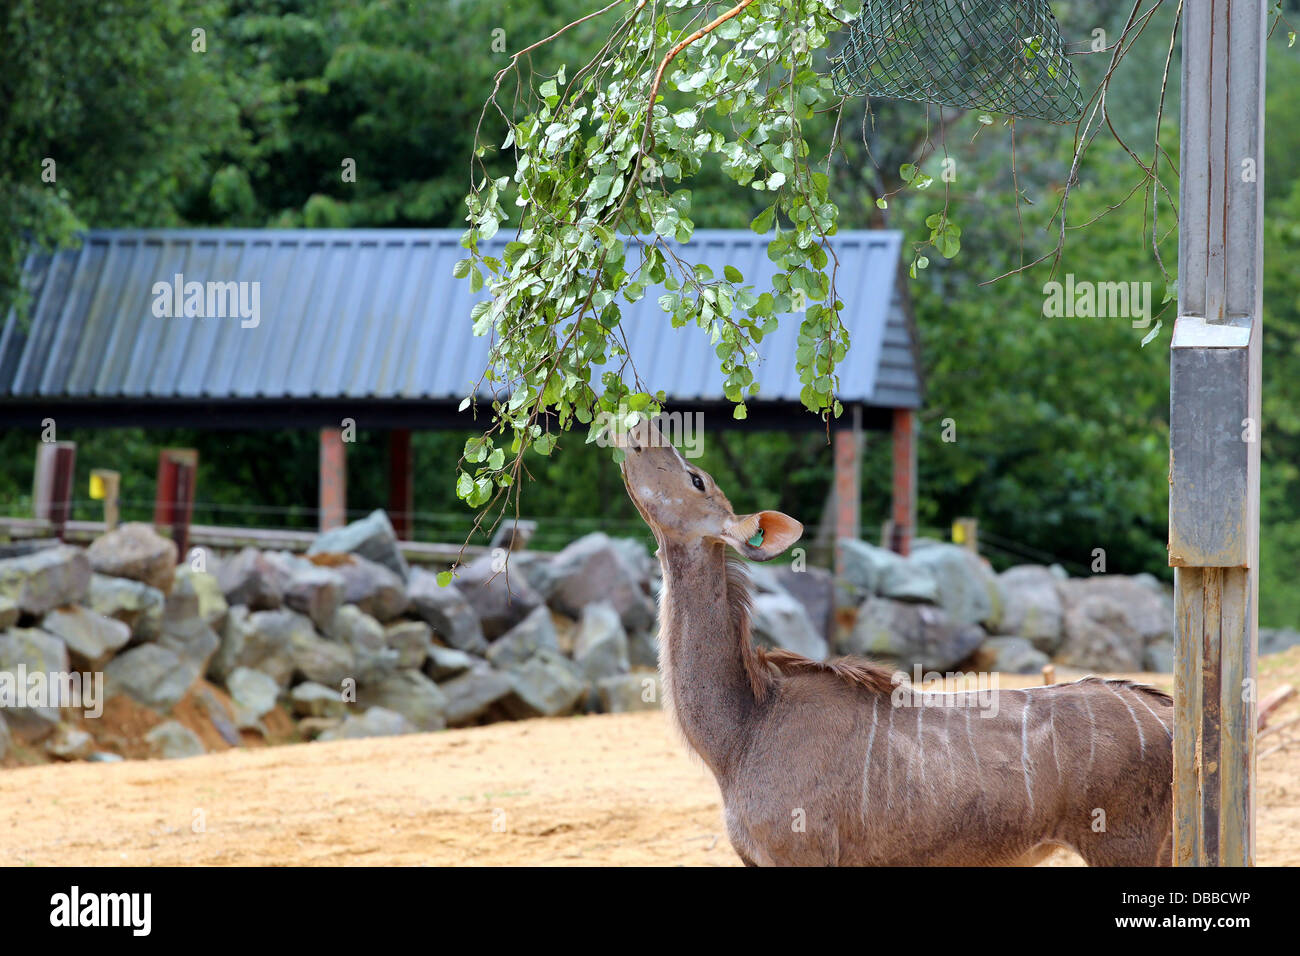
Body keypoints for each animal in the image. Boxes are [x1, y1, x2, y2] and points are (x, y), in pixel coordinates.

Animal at [619, 419, 1173, 866]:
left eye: (696, 478)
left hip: (1124, 845)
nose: (639, 426)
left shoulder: (803, 855)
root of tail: (1168, 713)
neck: (744, 729)